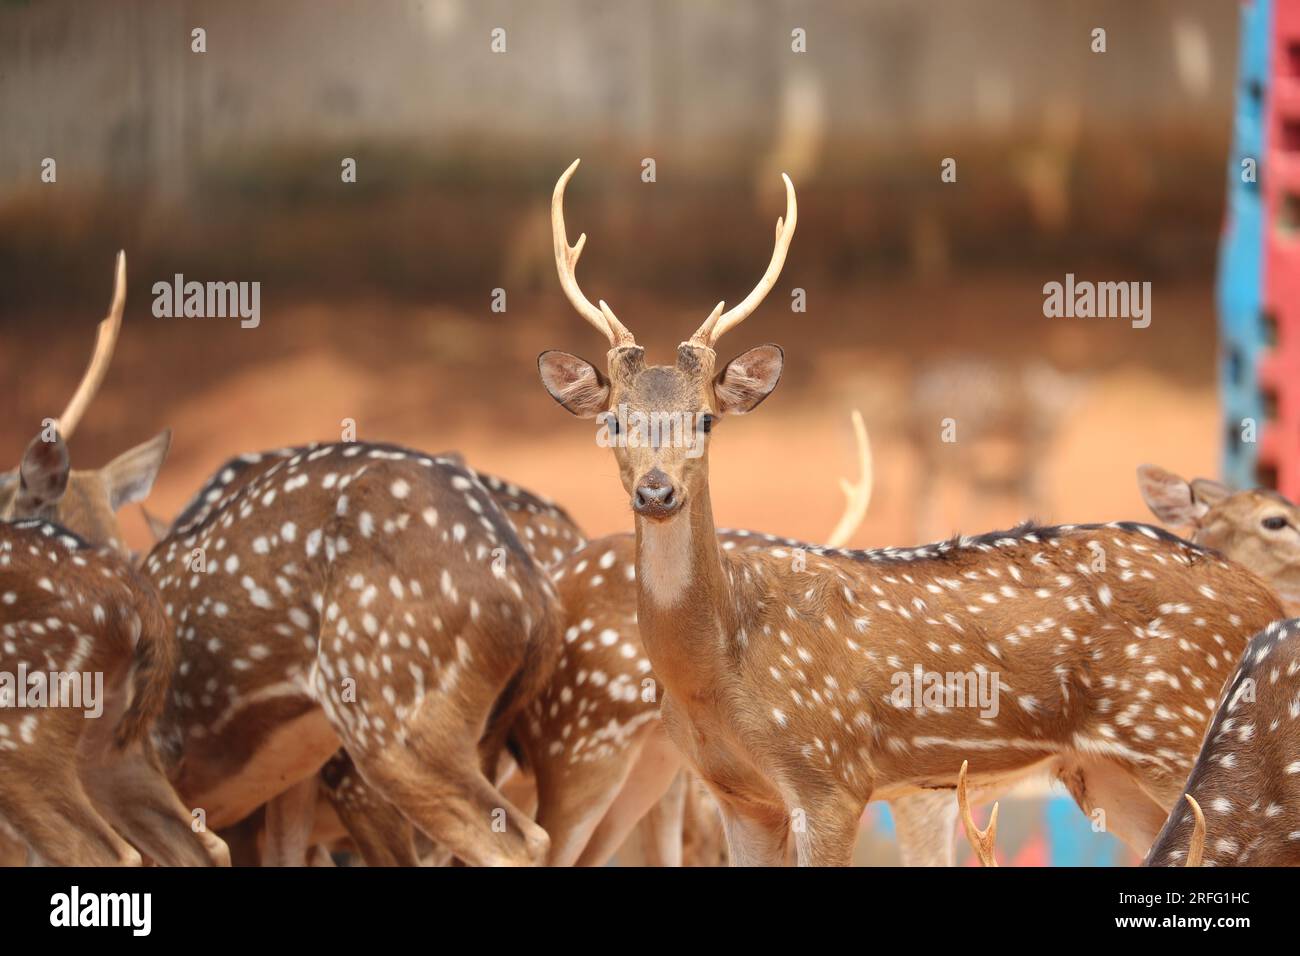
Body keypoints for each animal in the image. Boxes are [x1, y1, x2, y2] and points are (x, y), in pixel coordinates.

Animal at [534, 158, 1283, 866]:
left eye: (707, 418)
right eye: (612, 419)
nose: (657, 493)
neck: (717, 672)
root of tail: (1269, 602)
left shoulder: (829, 776)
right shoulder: (739, 796)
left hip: (1177, 730)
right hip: (1105, 772)